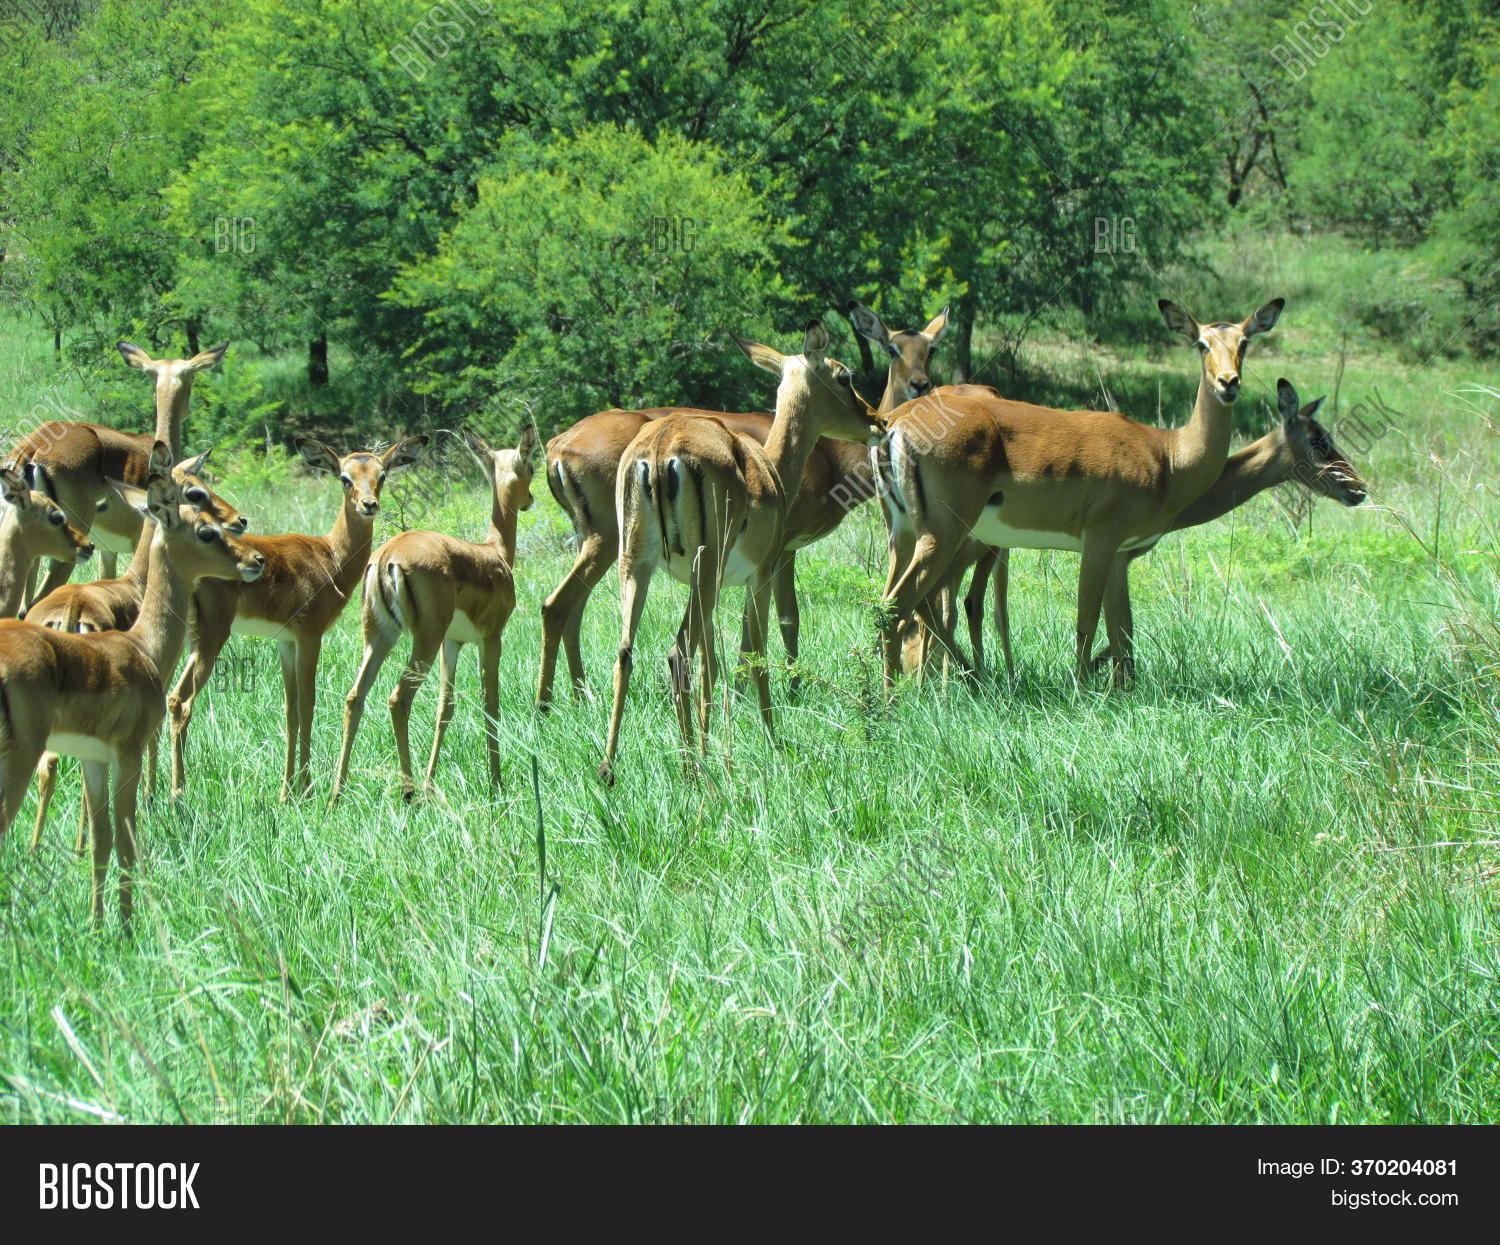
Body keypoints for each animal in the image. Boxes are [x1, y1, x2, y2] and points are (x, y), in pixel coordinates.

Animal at [168, 436, 428, 801]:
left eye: (382, 474)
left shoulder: (286, 642)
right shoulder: (310, 636)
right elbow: (308, 704)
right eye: (344, 477)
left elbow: (290, 710)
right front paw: (305, 788)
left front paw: (286, 791)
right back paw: (177, 793)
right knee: (181, 701)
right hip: (210, 638)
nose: (369, 504)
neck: (329, 557)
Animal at [330, 428, 536, 804]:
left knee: (355, 697)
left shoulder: (452, 643)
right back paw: (408, 792)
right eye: (529, 464)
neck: (494, 553)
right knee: (398, 699)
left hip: (381, 638)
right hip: (422, 641)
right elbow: (490, 704)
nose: (529, 498)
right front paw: (496, 783)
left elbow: (446, 707)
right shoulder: (490, 638)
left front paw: (431, 781)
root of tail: (387, 556)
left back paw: (337, 794)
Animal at [535, 301, 945, 709]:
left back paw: (571, 700)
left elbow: (722, 652)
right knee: (572, 611)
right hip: (626, 547)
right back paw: (552, 704)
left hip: (629, 559)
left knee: (601, 632)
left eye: (931, 348)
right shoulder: (777, 555)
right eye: (849, 375)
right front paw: (783, 689)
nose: (880, 420)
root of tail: (558, 445)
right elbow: (779, 624)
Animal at [598, 321, 884, 784]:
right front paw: (773, 742)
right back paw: (693, 770)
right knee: (677, 655)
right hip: (705, 570)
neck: (768, 468)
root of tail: (658, 449)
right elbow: (755, 654)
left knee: (626, 654)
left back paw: (612, 768)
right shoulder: (761, 574)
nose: (878, 420)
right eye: (846, 377)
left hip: (638, 566)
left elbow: (713, 664)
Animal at [878, 297, 1284, 685]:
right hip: (943, 535)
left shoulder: (1119, 555)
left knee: (897, 605)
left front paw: (1121, 692)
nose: (1228, 382)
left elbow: (1122, 629)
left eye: (1244, 342)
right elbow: (1087, 621)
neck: (1167, 455)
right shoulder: (1099, 541)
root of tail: (897, 424)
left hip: (906, 533)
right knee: (902, 607)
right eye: (1202, 343)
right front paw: (1084, 691)